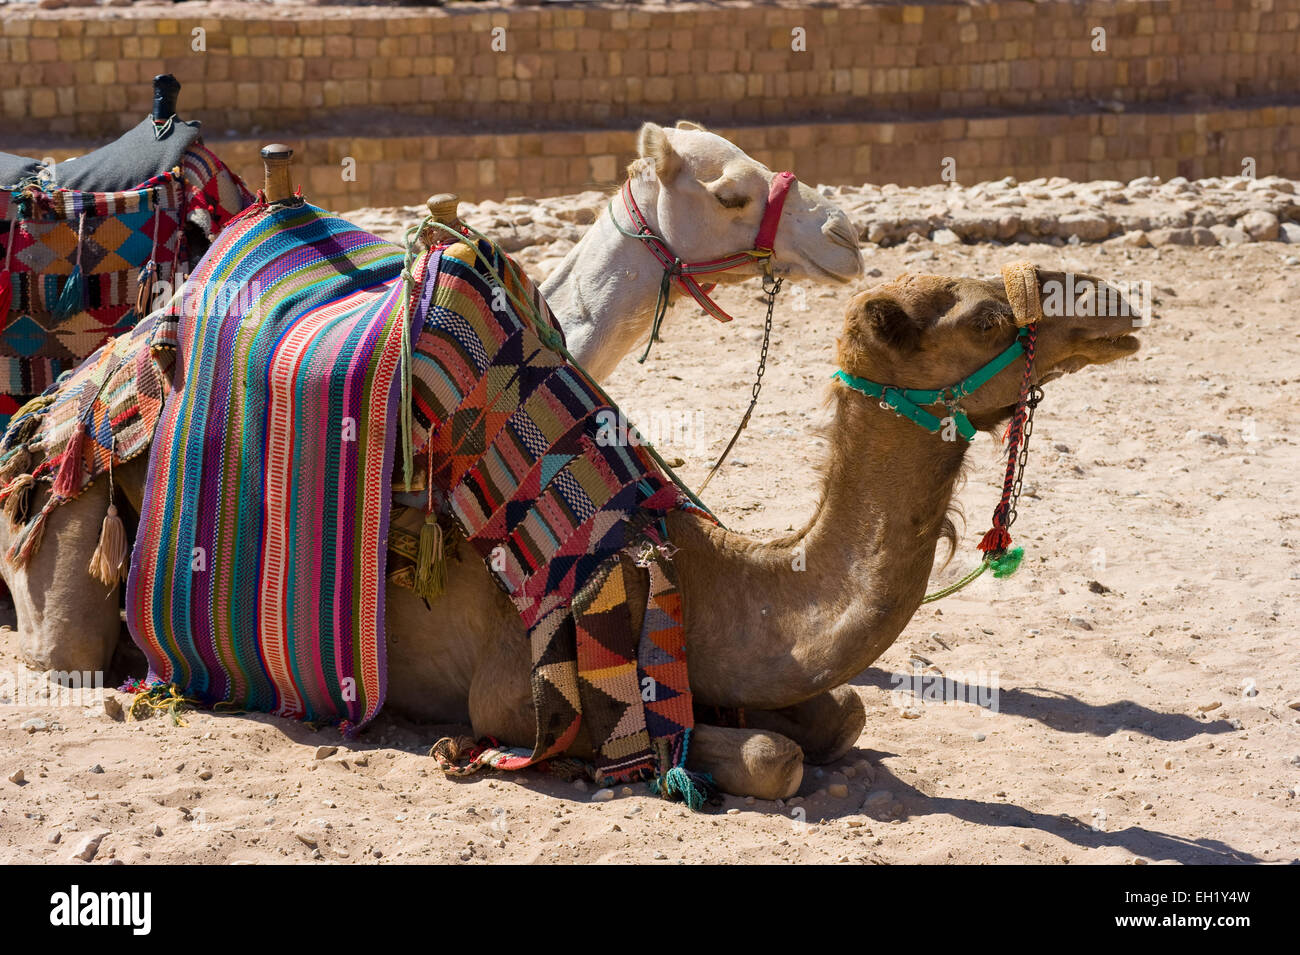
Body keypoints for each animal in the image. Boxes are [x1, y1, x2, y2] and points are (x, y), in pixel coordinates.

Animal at [3, 265, 1142, 799]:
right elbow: (770, 754)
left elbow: (840, 715)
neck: (695, 573)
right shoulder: (518, 692)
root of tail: (75, 384)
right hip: (71, 522)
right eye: (983, 320)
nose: (1117, 311)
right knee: (61, 647)